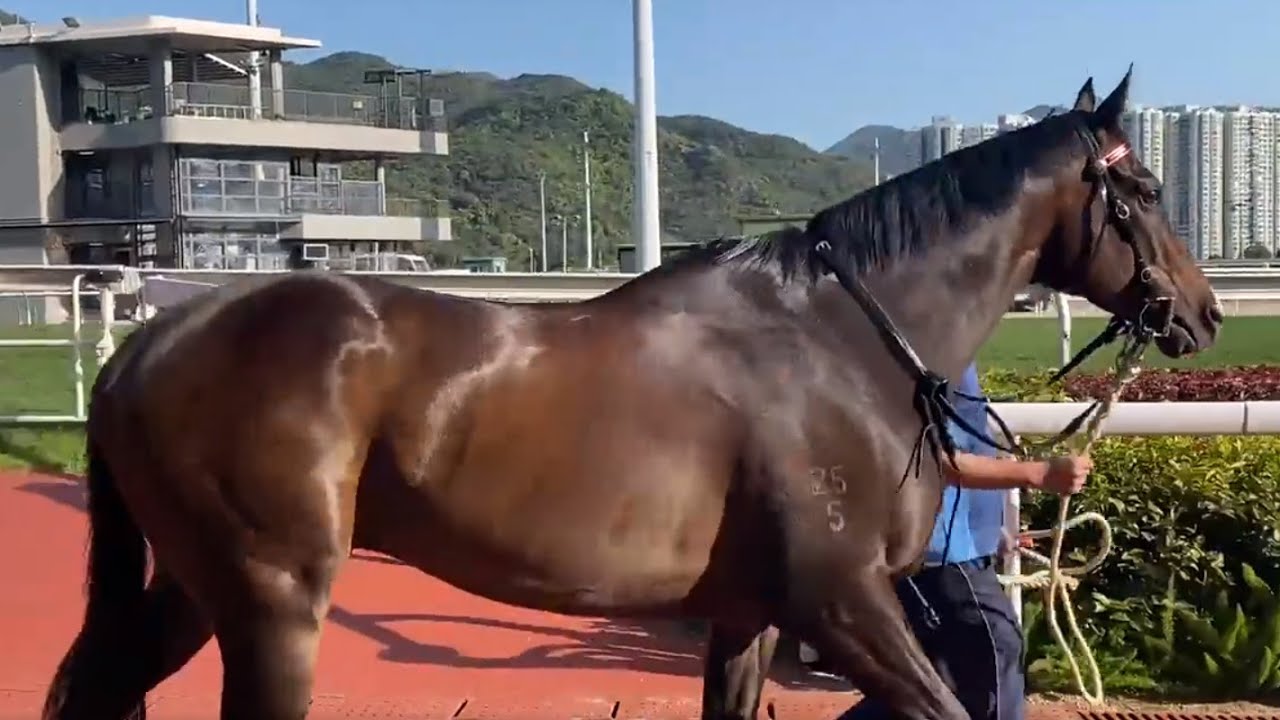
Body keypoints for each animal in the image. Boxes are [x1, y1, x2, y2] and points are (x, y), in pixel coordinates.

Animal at [43, 68, 1220, 720]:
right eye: (1146, 186)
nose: (1203, 312)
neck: (837, 338)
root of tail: (145, 346)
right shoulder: (842, 603)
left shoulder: (749, 612)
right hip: (274, 596)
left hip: (195, 587)